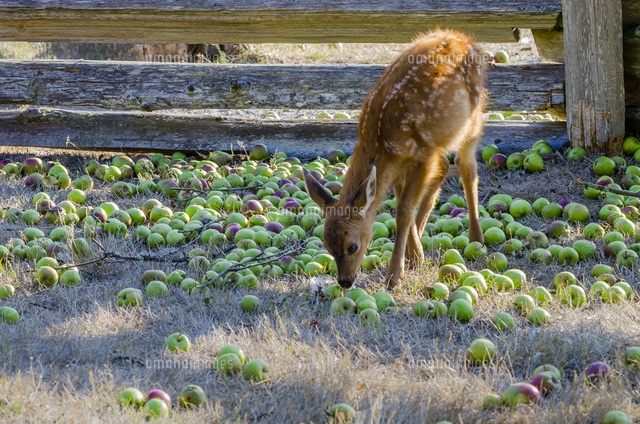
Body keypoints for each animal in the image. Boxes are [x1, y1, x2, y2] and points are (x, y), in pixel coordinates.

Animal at [304, 29, 487, 289]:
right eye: (327, 246)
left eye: (353, 246)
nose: (345, 282)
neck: (380, 140)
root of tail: (463, 38)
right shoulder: (401, 163)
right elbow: (404, 204)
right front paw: (416, 257)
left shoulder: (422, 154)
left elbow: (403, 212)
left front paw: (394, 275)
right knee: (444, 166)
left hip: (472, 118)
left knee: (467, 167)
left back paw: (476, 238)